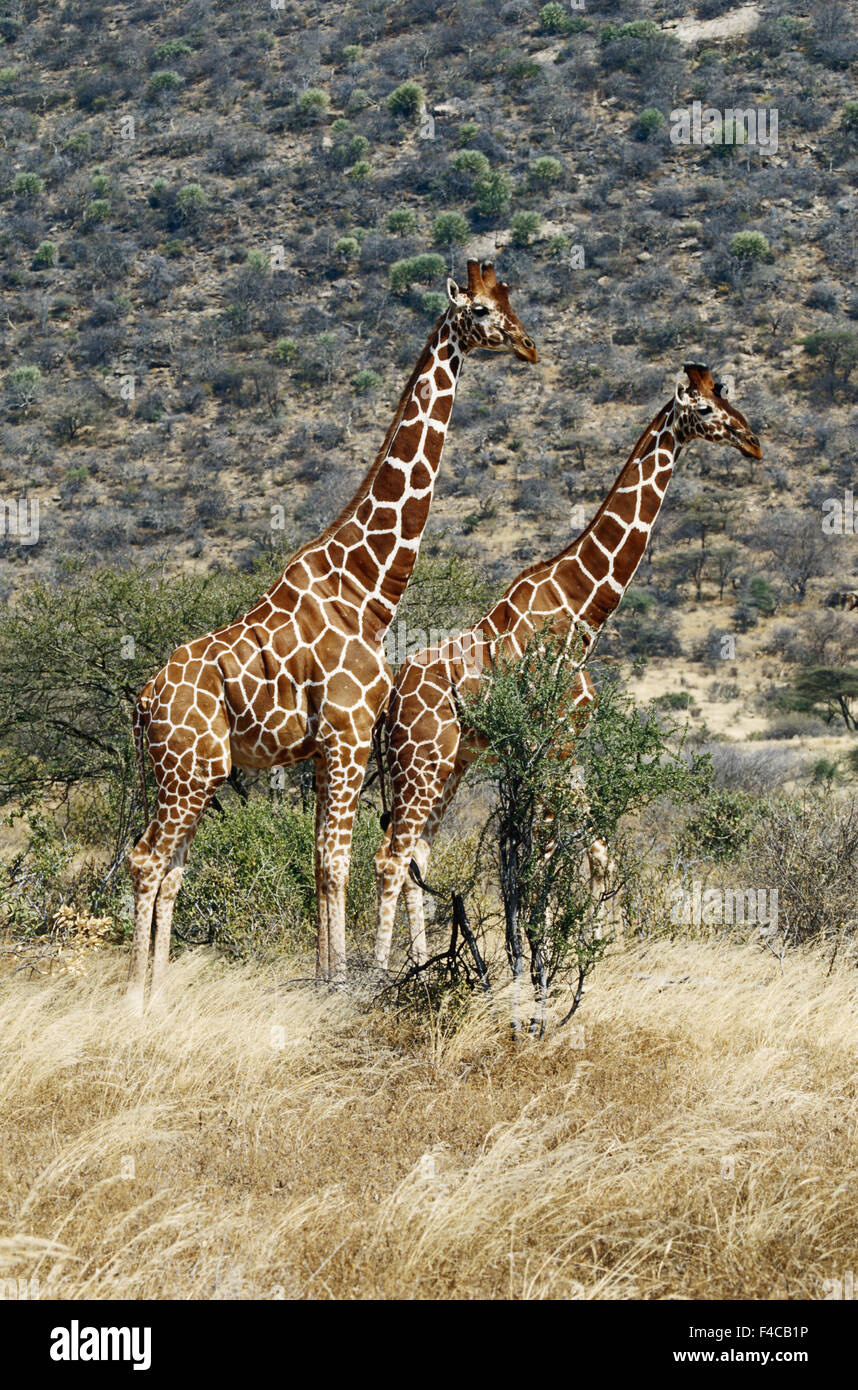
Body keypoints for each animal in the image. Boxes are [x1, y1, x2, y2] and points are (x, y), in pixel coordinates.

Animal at [127, 262, 538, 1008]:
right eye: (484, 312)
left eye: (509, 303)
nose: (528, 346)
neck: (367, 590)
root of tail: (142, 703)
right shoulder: (347, 735)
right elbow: (339, 858)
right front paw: (346, 984)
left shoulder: (324, 747)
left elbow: (321, 857)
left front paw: (326, 979)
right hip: (187, 774)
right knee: (146, 860)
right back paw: (132, 1000)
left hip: (194, 774)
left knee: (169, 869)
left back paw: (160, 992)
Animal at [374, 364, 762, 969]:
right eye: (702, 409)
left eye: (725, 397)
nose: (753, 441)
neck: (583, 610)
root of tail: (389, 703)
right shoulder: (550, 741)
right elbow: (548, 852)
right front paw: (541, 956)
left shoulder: (570, 740)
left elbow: (598, 849)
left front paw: (595, 948)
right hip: (421, 762)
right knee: (390, 858)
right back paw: (375, 974)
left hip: (442, 766)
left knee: (417, 854)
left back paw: (419, 963)